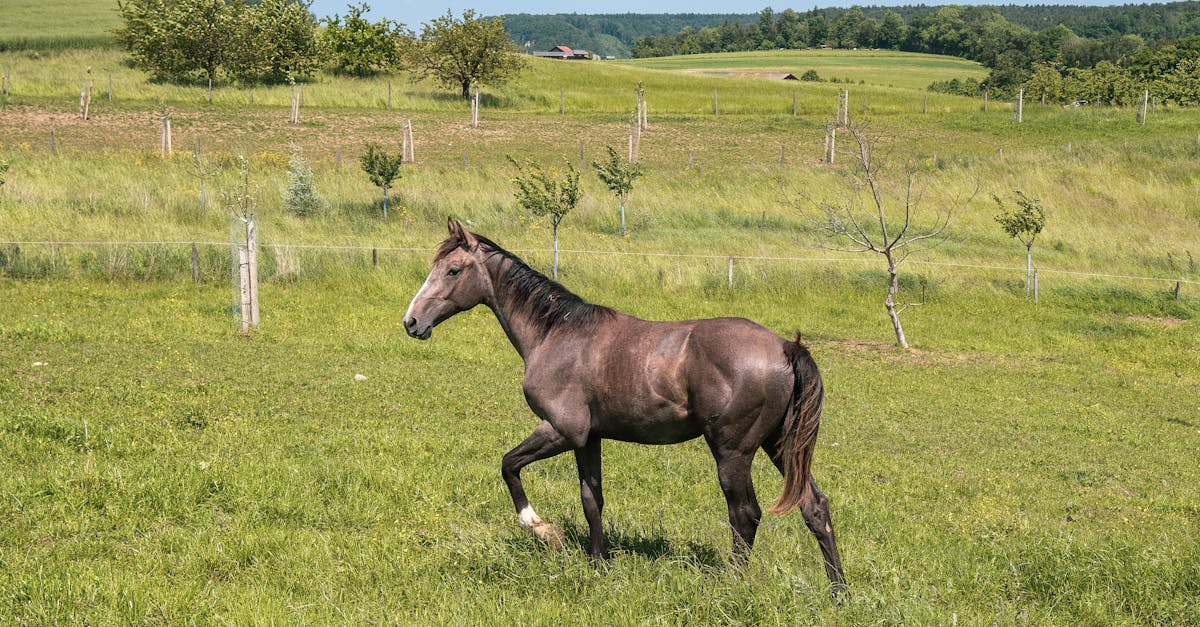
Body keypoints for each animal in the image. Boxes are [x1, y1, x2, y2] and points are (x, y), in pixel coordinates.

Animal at [403, 219, 846, 591]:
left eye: (453, 271)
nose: (411, 322)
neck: (557, 334)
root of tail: (785, 346)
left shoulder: (561, 431)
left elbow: (509, 466)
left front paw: (545, 531)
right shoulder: (588, 439)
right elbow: (592, 500)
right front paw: (598, 562)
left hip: (732, 452)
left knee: (745, 514)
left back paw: (733, 583)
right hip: (780, 446)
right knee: (814, 507)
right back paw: (838, 591)